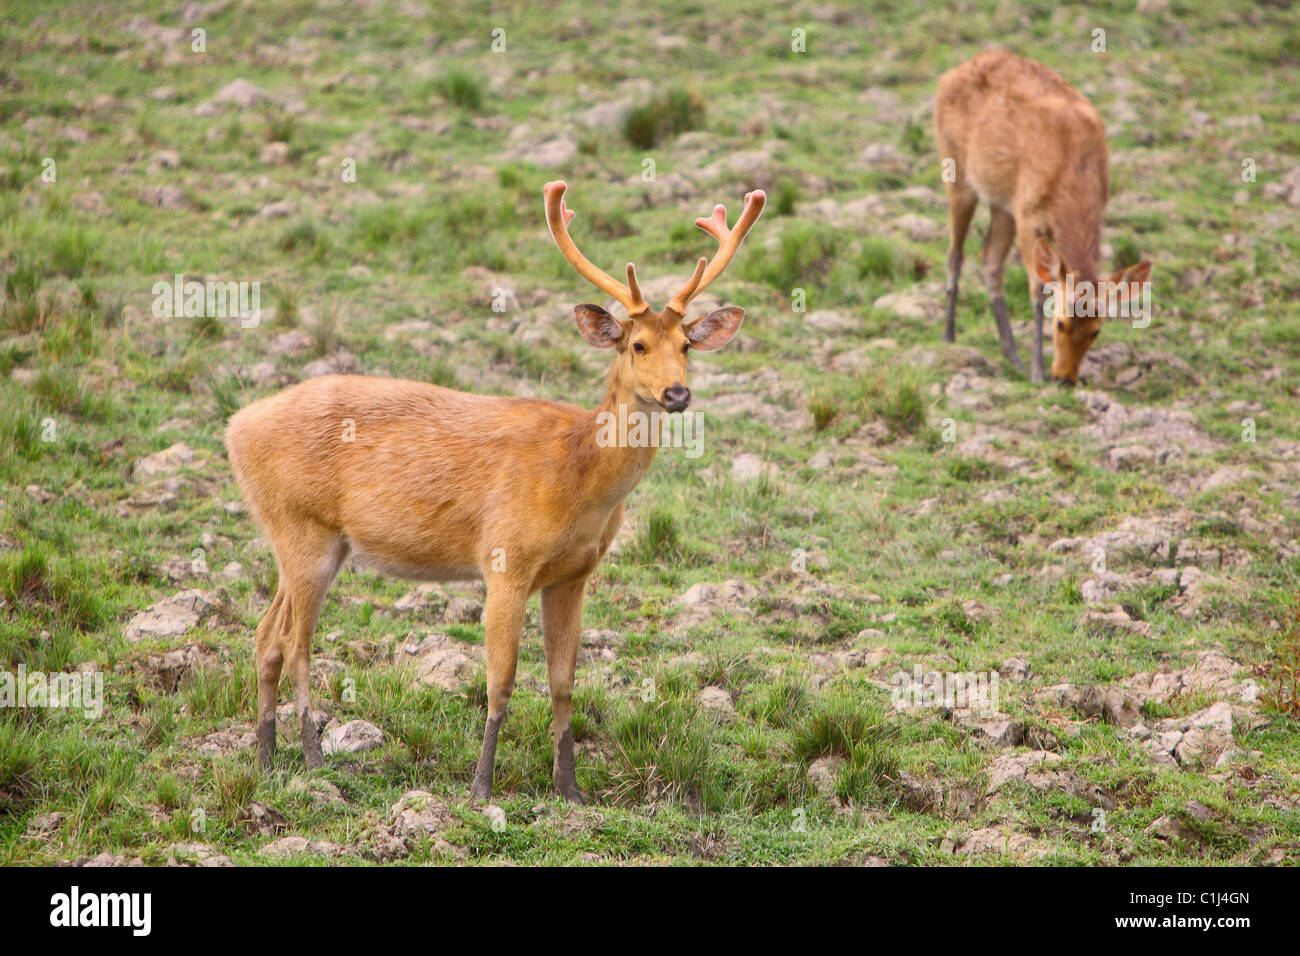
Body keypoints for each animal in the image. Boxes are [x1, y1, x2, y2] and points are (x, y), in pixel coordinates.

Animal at [224, 180, 765, 804]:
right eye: (637, 346)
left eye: (687, 345)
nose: (677, 394)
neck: (578, 480)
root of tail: (234, 428)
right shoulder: (506, 558)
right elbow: (500, 680)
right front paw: (481, 787)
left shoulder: (574, 575)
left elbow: (563, 682)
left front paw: (570, 788)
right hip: (302, 526)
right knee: (295, 642)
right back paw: (312, 761)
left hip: (307, 538)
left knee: (265, 634)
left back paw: (266, 759)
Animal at [934, 49, 1153, 384]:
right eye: (1060, 323)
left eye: (1096, 331)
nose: (1065, 379)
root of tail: (951, 73)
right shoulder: (1028, 214)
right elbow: (1038, 290)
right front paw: (1038, 370)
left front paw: (1032, 365)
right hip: (956, 173)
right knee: (955, 254)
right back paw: (949, 336)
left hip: (1002, 203)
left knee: (989, 258)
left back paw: (1012, 356)